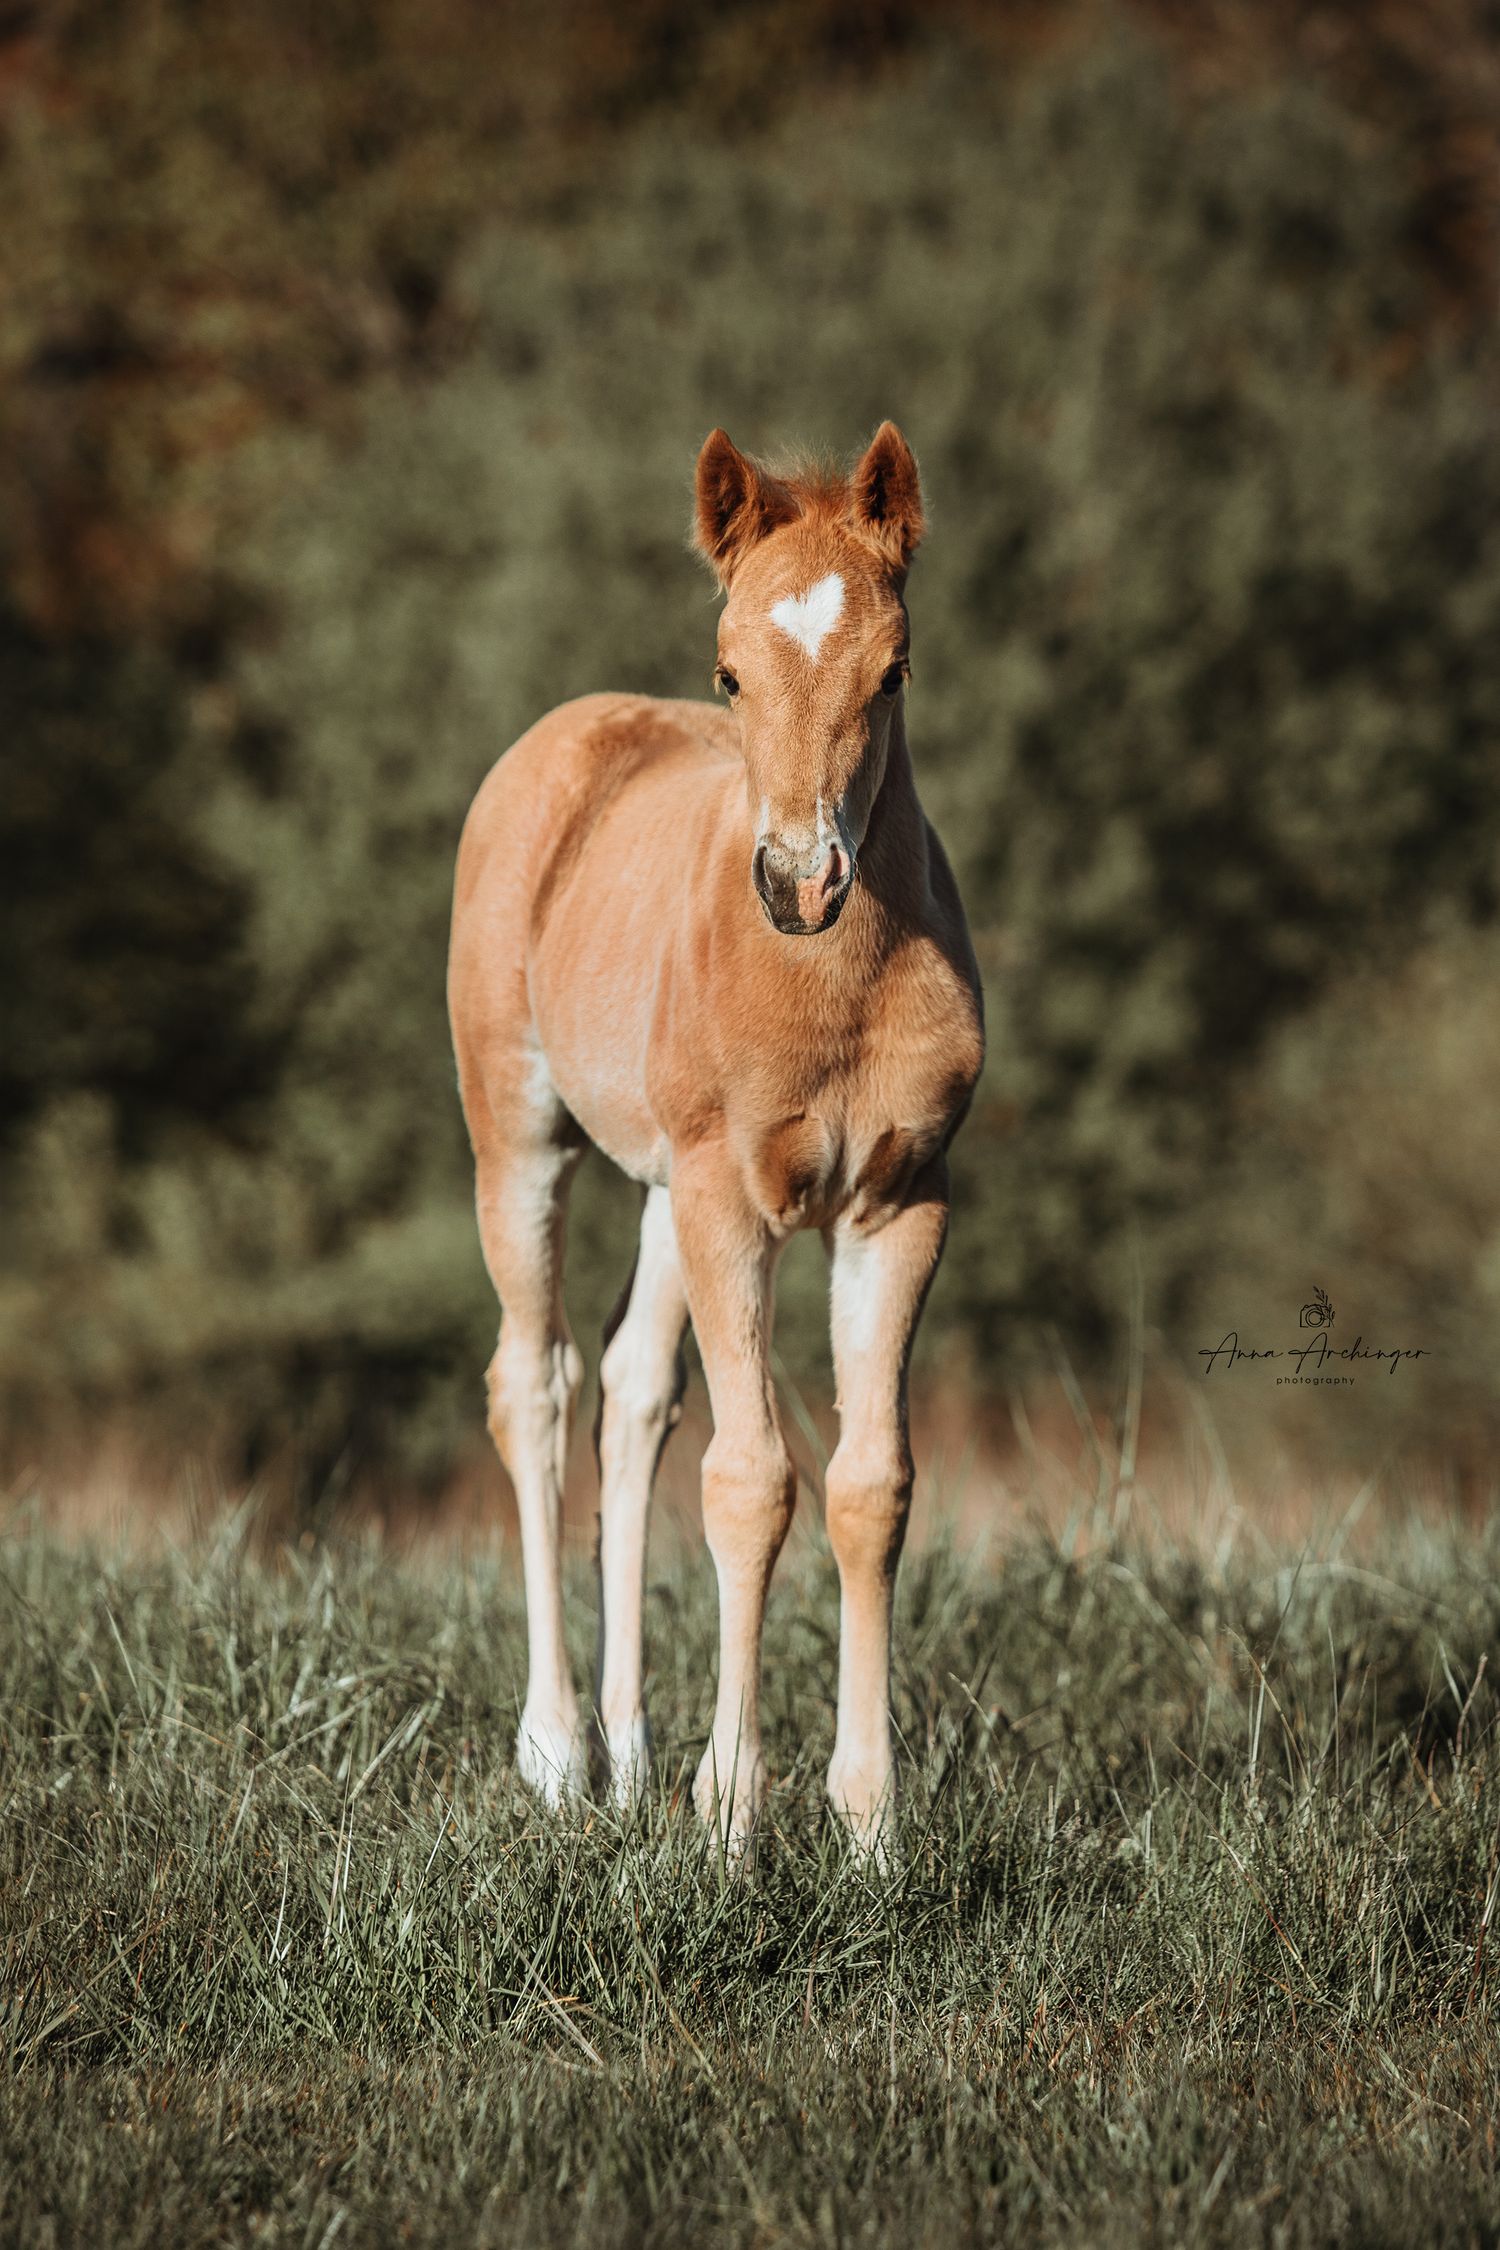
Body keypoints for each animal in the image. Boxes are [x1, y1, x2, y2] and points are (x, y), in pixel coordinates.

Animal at [448, 421, 983, 1857]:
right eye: (729, 672)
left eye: (896, 666)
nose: (800, 881)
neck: (831, 990)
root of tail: (565, 735)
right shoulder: (733, 1203)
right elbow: (750, 1481)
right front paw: (734, 1816)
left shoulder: (900, 1202)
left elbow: (869, 1485)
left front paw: (871, 1825)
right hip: (526, 1138)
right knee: (535, 1382)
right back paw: (559, 1752)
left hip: (659, 1186)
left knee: (633, 1393)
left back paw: (631, 1755)